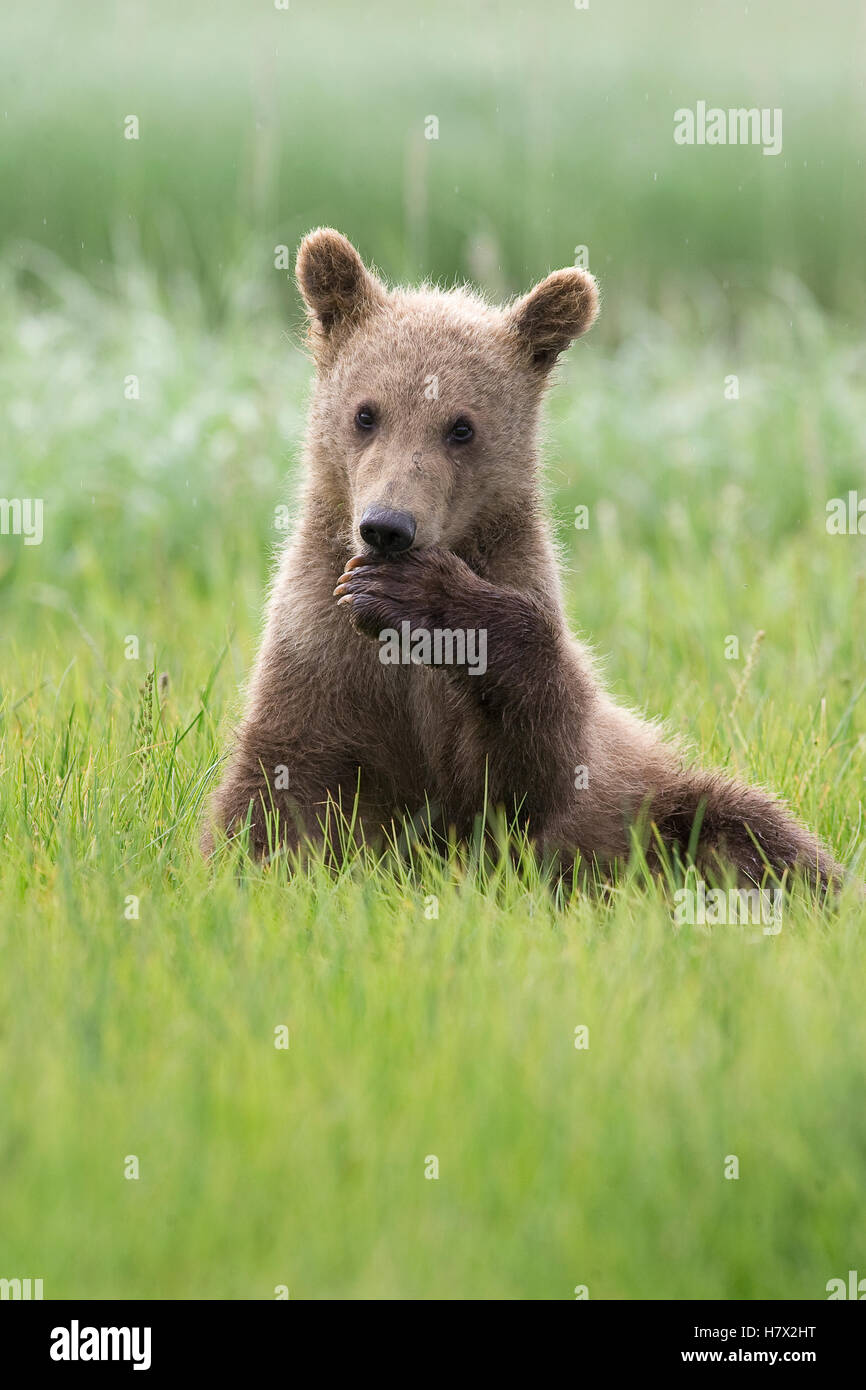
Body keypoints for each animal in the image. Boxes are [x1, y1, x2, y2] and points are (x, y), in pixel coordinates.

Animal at [205, 227, 843, 891]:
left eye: (461, 427)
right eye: (365, 413)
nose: (388, 528)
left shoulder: (513, 638)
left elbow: (529, 774)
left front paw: (421, 597)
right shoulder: (321, 653)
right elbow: (279, 787)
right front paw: (251, 867)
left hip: (653, 797)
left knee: (740, 825)